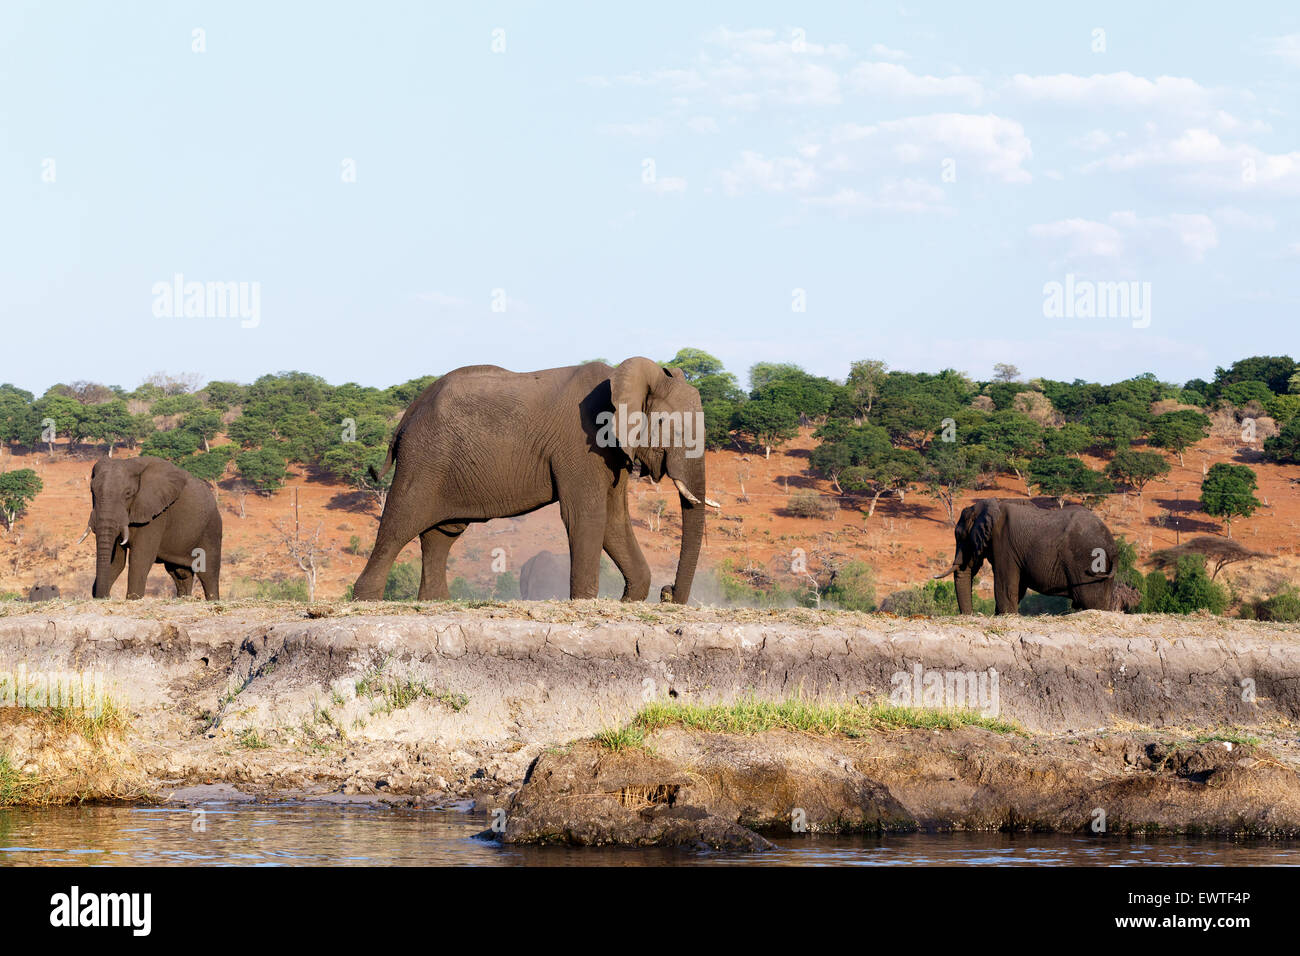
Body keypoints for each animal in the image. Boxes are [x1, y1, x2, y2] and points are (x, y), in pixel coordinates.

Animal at [82, 455, 222, 600]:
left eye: (128, 493)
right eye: (92, 491)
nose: (105, 596)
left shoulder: (157, 514)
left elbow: (140, 557)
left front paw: (133, 599)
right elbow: (117, 561)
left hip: (212, 527)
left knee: (208, 573)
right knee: (180, 573)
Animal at [352, 358, 718, 603]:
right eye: (672, 427)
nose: (668, 593)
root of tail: (409, 414)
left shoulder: (612, 451)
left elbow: (614, 520)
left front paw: (630, 600)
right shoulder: (581, 441)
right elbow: (586, 516)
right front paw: (584, 602)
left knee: (441, 534)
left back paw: (435, 602)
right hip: (424, 457)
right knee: (399, 522)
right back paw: (365, 598)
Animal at [934, 498, 1119, 615]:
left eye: (959, 536)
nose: (971, 614)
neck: (991, 505)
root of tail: (1112, 546)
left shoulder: (1004, 543)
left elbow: (1005, 587)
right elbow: (1018, 588)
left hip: (1086, 565)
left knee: (1089, 601)